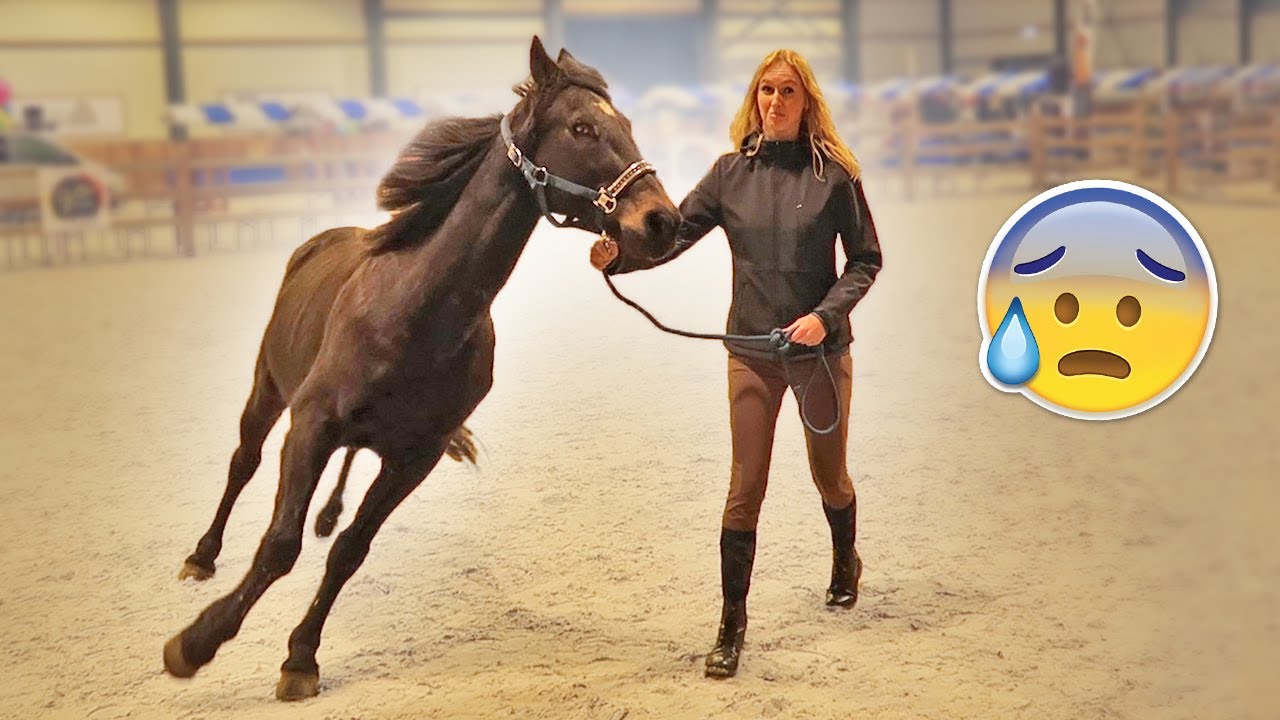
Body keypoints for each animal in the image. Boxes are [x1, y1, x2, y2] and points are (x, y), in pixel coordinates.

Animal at [163, 36, 680, 701]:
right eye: (583, 127)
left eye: (630, 125)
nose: (662, 222)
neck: (415, 311)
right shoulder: (310, 425)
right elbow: (279, 545)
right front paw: (193, 645)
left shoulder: (416, 457)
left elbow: (349, 552)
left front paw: (301, 658)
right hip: (267, 391)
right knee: (242, 463)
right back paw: (201, 557)